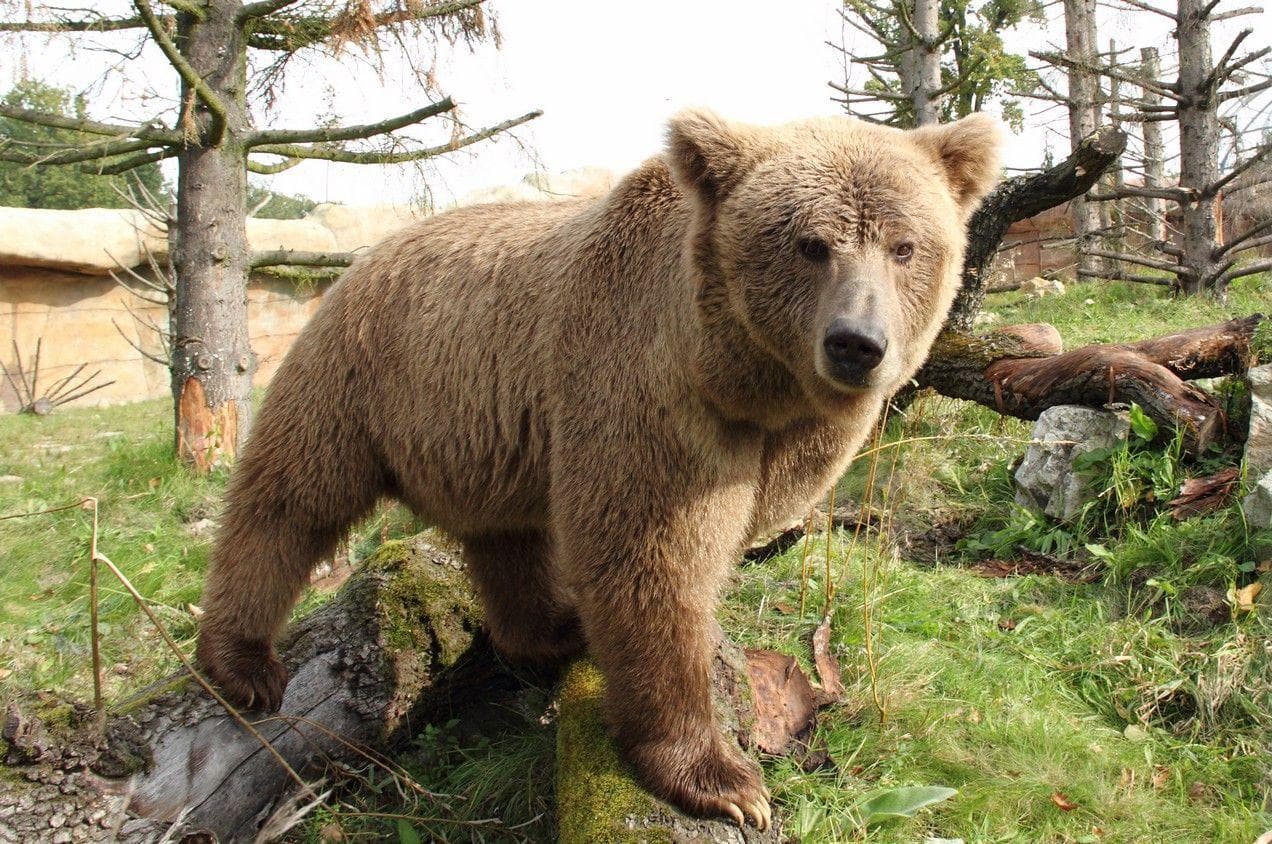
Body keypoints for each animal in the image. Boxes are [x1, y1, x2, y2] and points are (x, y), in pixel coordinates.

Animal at [196, 108, 1002, 829]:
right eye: (810, 244)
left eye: (904, 246)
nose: (856, 344)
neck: (742, 380)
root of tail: (366, 252)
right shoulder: (646, 391)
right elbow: (649, 560)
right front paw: (722, 780)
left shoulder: (779, 436)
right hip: (362, 376)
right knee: (290, 499)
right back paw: (243, 663)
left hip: (481, 438)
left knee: (506, 538)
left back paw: (549, 631)